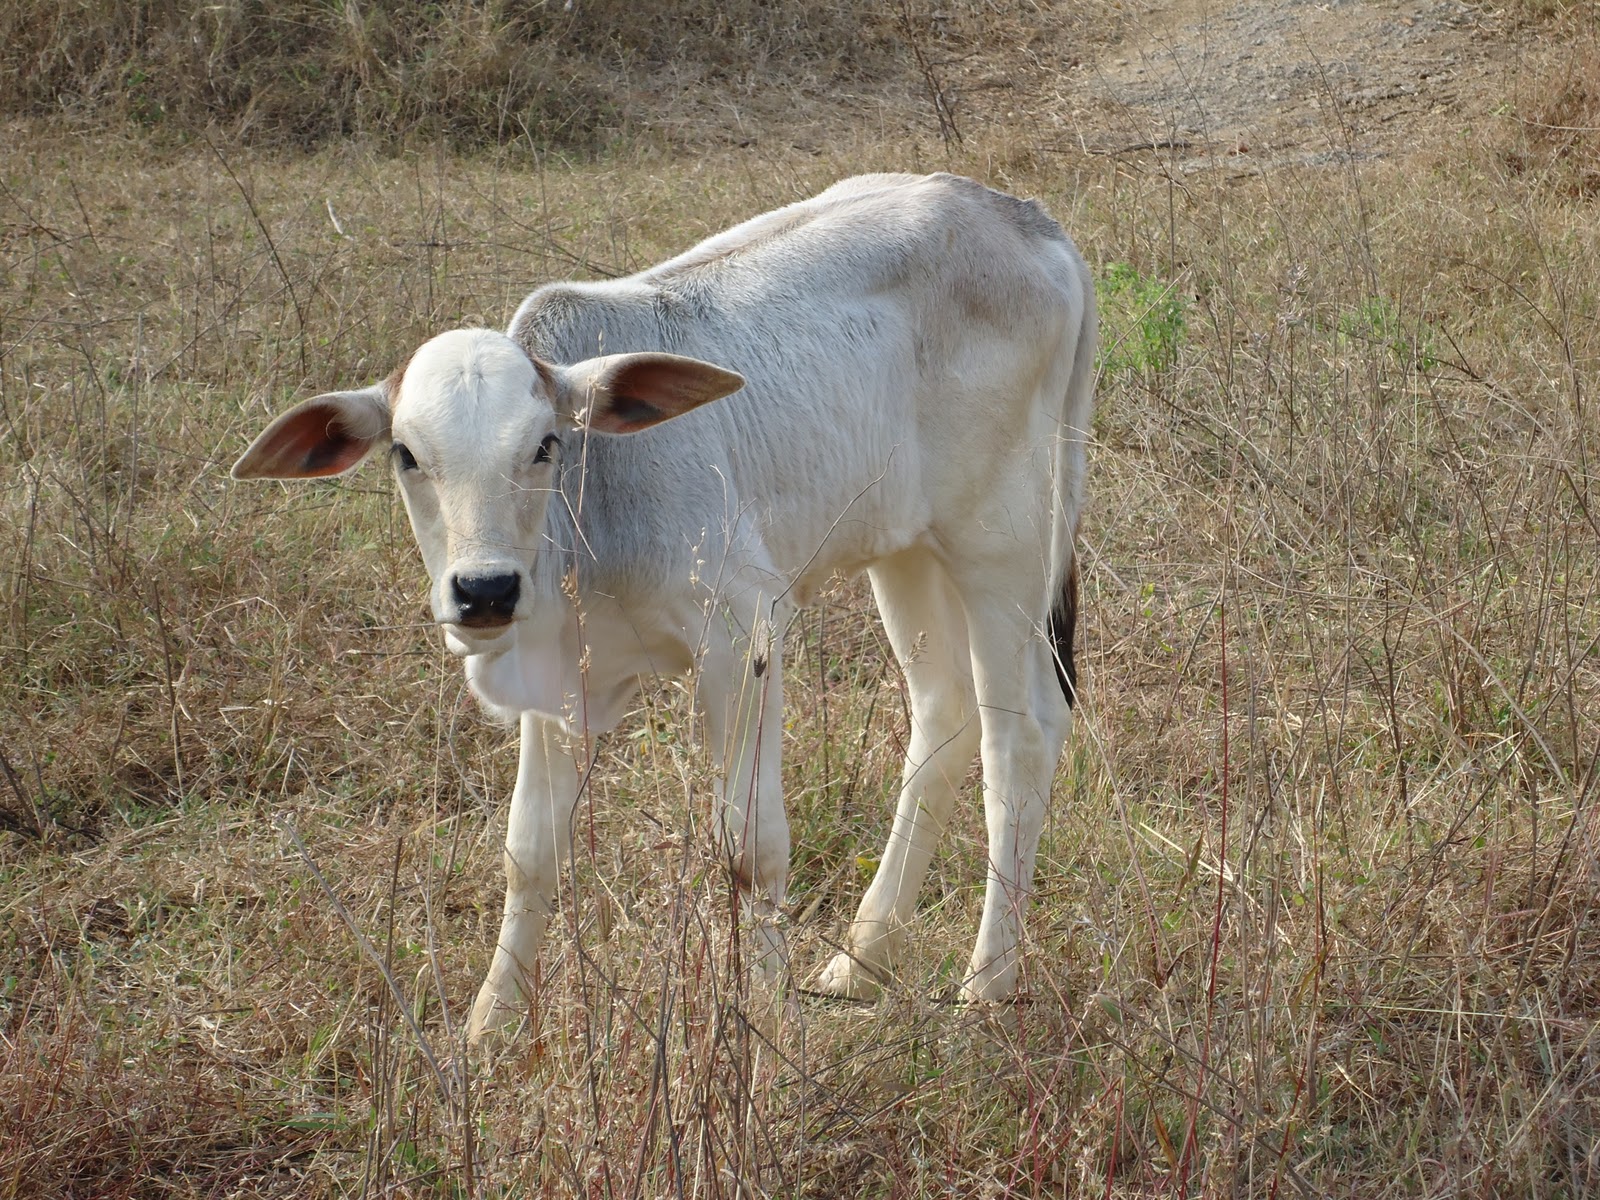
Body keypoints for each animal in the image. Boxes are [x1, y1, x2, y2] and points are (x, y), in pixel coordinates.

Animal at [233, 172, 1096, 1041]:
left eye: (543, 445)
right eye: (408, 456)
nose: (484, 591)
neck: (585, 513)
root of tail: (1019, 217)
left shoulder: (743, 635)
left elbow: (750, 847)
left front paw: (767, 1018)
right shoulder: (558, 680)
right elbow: (529, 852)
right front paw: (488, 1028)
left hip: (1003, 541)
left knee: (1018, 738)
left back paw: (987, 981)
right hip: (906, 548)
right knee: (944, 717)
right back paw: (858, 963)